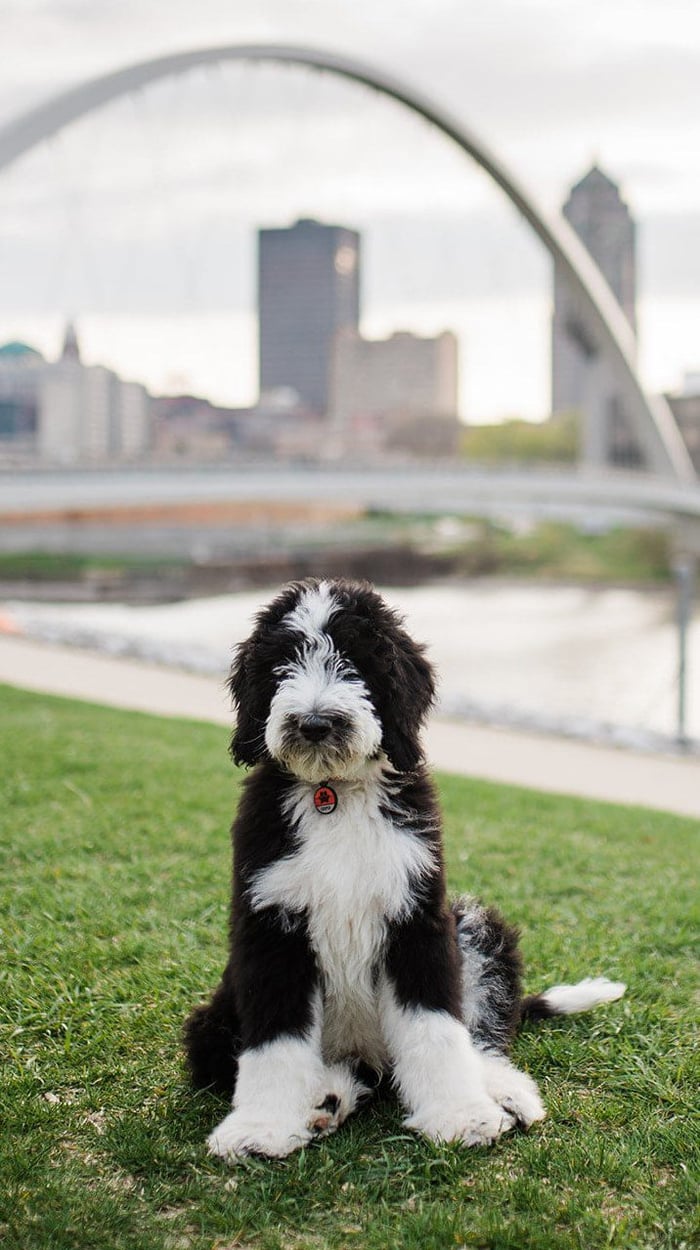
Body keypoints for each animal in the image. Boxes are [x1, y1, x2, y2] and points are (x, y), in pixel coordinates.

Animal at [185, 577, 622, 1160]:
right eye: (282, 665)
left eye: (354, 662)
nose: (315, 723)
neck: (334, 794)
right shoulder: (269, 924)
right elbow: (275, 1036)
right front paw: (262, 1127)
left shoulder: (418, 917)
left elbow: (436, 1026)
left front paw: (460, 1115)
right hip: (211, 1025)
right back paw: (328, 1098)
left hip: (473, 927)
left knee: (480, 1038)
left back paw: (503, 1093)